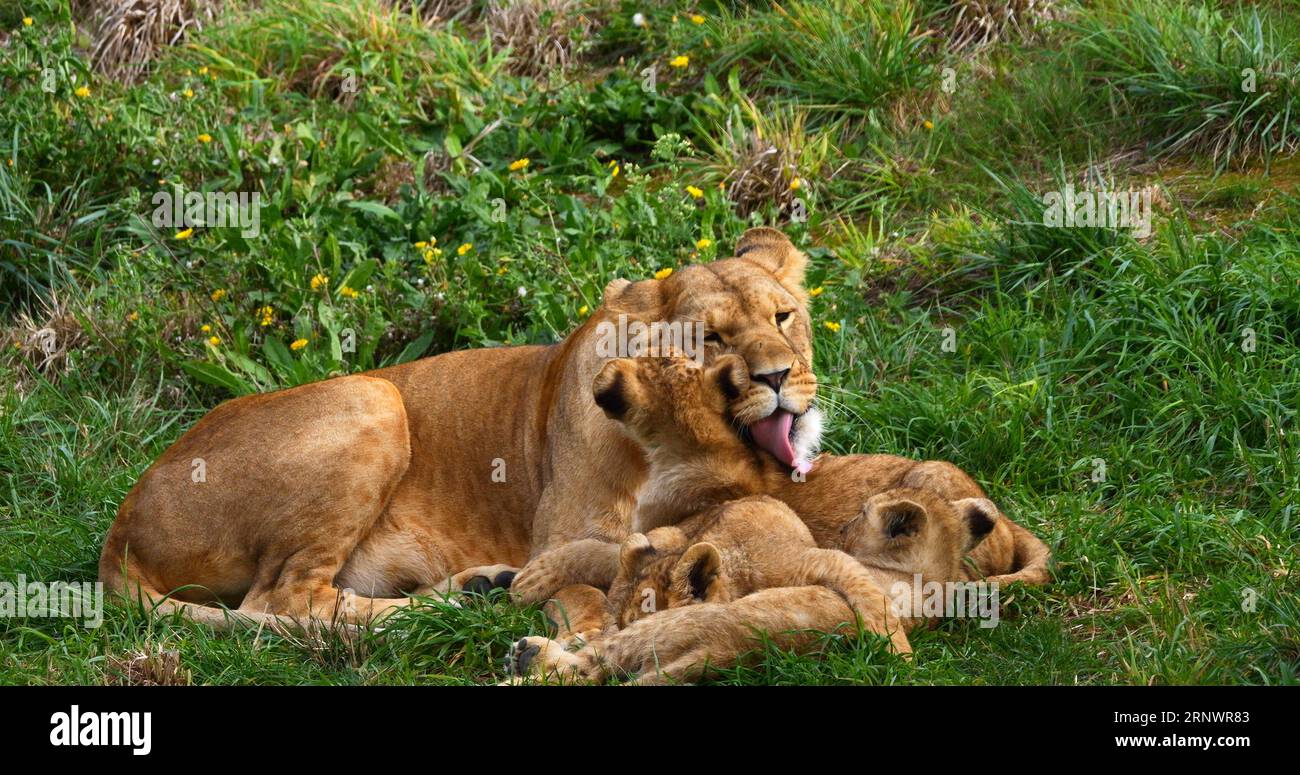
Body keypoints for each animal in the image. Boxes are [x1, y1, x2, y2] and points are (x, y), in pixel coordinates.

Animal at [98, 228, 826, 627]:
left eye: (784, 316)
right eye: (712, 338)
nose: (777, 377)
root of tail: (120, 527)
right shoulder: (560, 538)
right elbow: (585, 587)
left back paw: (476, 587)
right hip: (373, 394)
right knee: (281, 602)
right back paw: (465, 599)